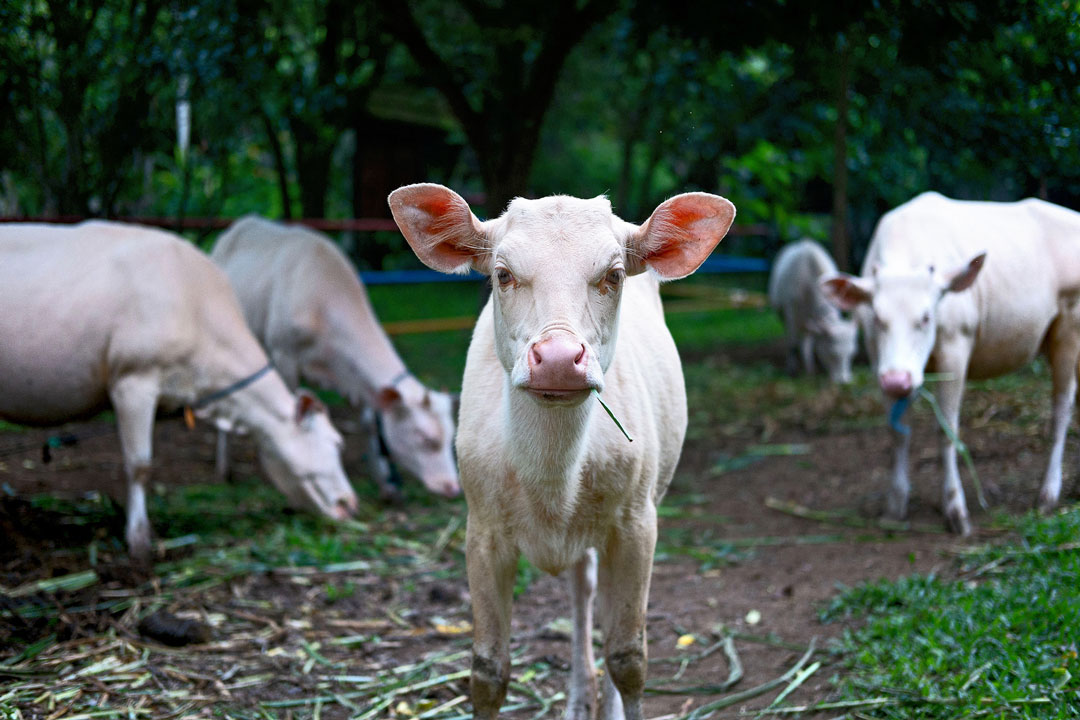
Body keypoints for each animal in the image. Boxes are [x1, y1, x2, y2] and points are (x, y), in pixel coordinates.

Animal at [210, 216, 460, 500]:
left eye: (450, 438)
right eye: (426, 439)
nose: (453, 488)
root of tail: (242, 224)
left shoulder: (353, 376)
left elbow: (368, 422)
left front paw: (385, 483)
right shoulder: (284, 355)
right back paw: (224, 468)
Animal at [389, 183, 735, 720]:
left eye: (614, 274)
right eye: (502, 273)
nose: (556, 359)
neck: (550, 483)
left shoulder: (638, 521)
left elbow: (629, 657)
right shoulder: (481, 527)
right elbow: (487, 670)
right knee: (581, 587)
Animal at [768, 239, 857, 383]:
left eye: (852, 353)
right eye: (832, 353)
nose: (844, 381)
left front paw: (810, 371)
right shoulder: (791, 313)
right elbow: (792, 343)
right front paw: (792, 371)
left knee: (806, 342)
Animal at [822, 192, 1080, 535]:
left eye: (926, 317)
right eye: (877, 318)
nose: (898, 380)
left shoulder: (955, 348)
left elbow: (946, 430)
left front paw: (956, 510)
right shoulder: (879, 359)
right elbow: (896, 432)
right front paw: (895, 505)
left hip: (1069, 327)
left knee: (1062, 408)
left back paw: (1047, 494)